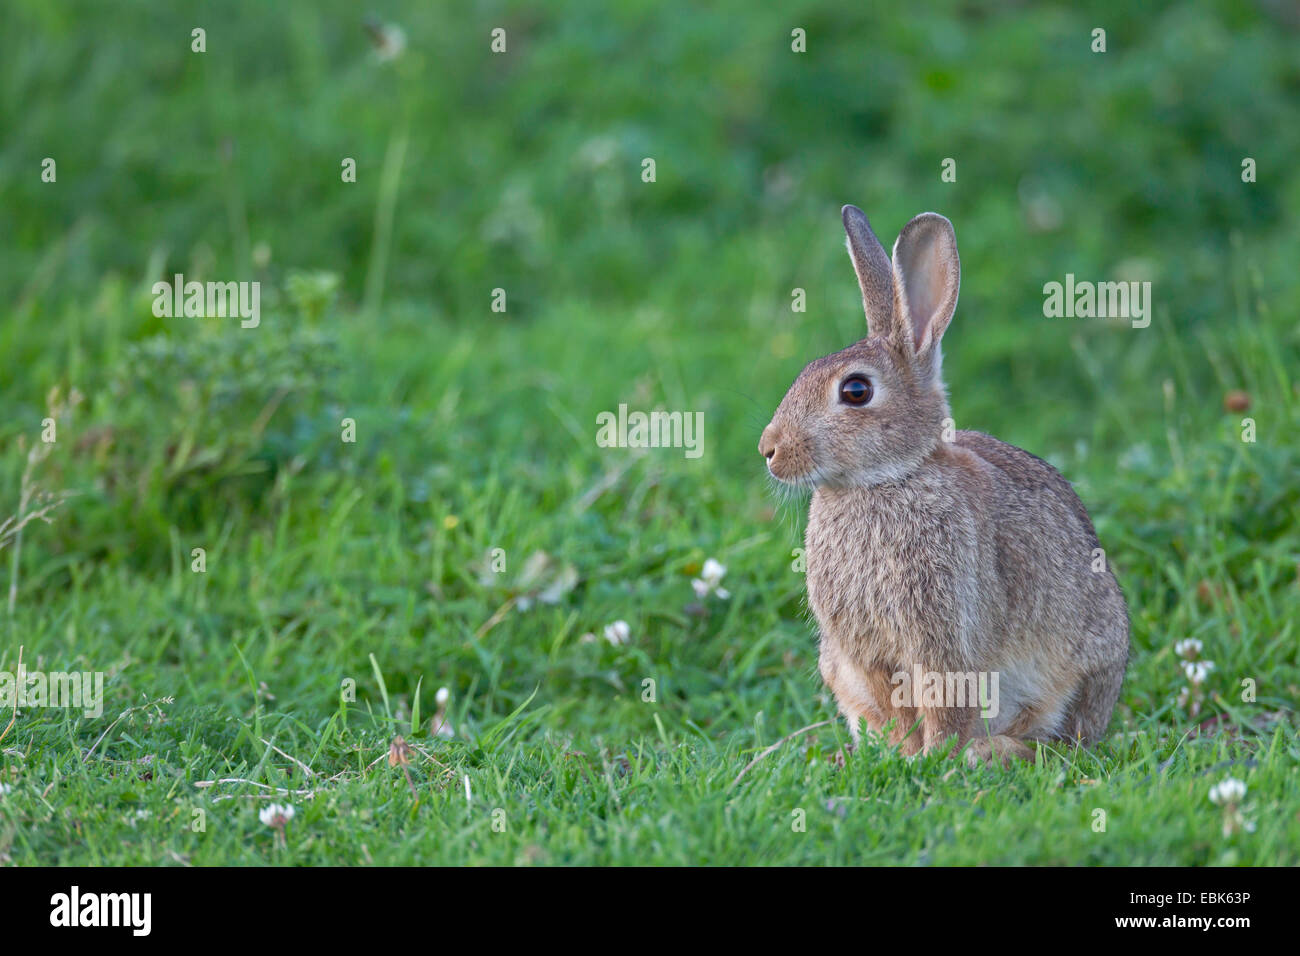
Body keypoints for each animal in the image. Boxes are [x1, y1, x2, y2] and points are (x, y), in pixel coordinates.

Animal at [758, 206, 1129, 766]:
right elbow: (897, 707)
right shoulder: (867, 652)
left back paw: (991, 752)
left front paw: (939, 759)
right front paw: (905, 755)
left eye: (856, 390)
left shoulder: (947, 633)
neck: (884, 480)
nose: (769, 449)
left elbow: (946, 699)